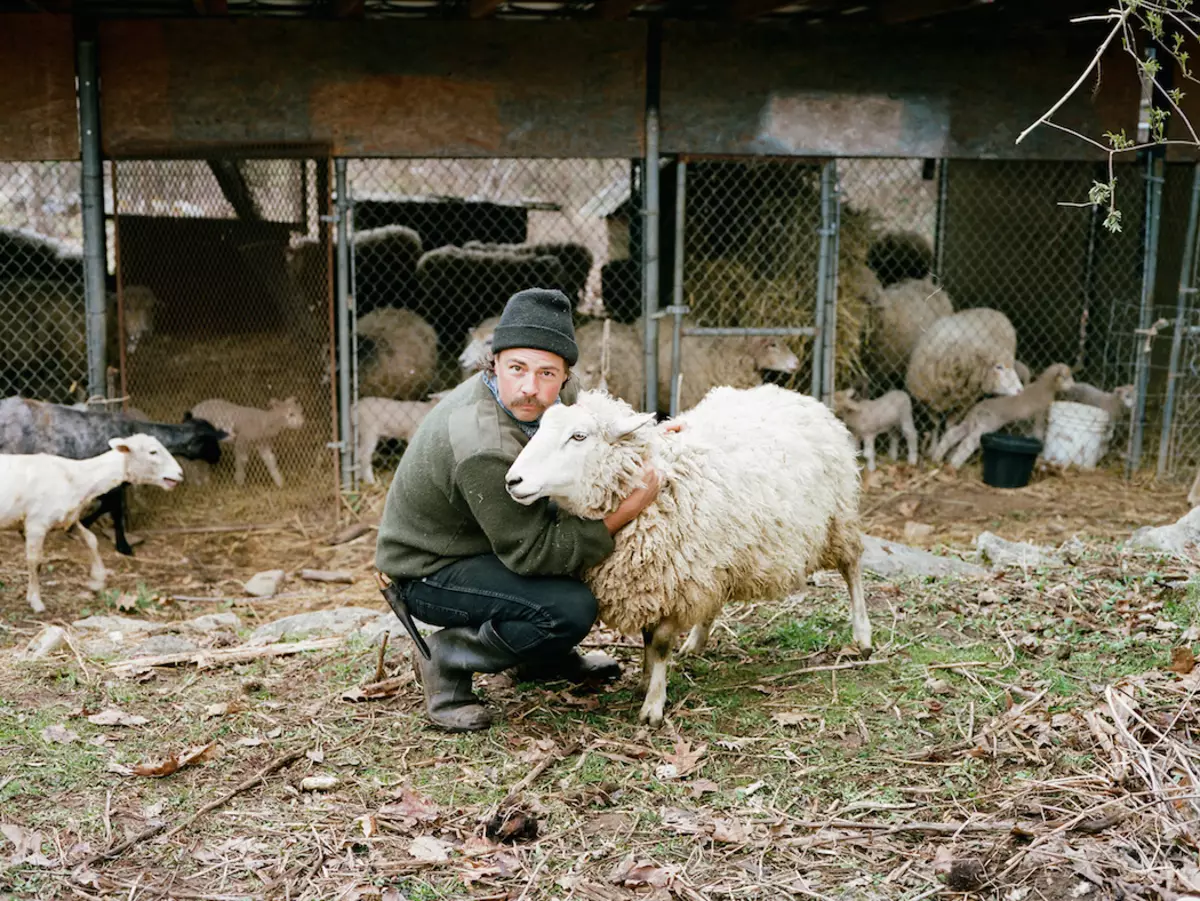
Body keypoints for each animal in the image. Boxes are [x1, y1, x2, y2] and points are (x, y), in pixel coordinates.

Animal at [0, 400, 228, 561]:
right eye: (211, 441)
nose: (219, 457)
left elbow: (105, 505)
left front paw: (81, 525)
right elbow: (116, 510)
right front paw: (124, 546)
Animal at [0, 434, 182, 614]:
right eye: (153, 452)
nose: (180, 474)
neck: (78, 479)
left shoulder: (70, 519)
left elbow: (91, 539)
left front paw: (98, 580)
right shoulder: (36, 524)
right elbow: (35, 561)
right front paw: (36, 600)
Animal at [506, 383, 873, 729]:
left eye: (579, 436)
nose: (512, 480)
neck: (657, 482)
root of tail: (798, 396)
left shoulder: (675, 580)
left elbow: (660, 643)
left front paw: (653, 705)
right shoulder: (659, 580)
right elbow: (647, 639)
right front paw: (644, 681)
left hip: (837, 518)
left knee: (852, 567)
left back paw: (863, 636)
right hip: (720, 555)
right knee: (717, 596)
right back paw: (697, 641)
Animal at [931, 362, 1075, 467]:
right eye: (1066, 378)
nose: (1074, 386)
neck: (1044, 388)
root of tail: (978, 408)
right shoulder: (1039, 413)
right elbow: (1038, 430)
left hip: (970, 422)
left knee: (952, 435)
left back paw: (937, 457)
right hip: (986, 425)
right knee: (968, 442)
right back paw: (954, 465)